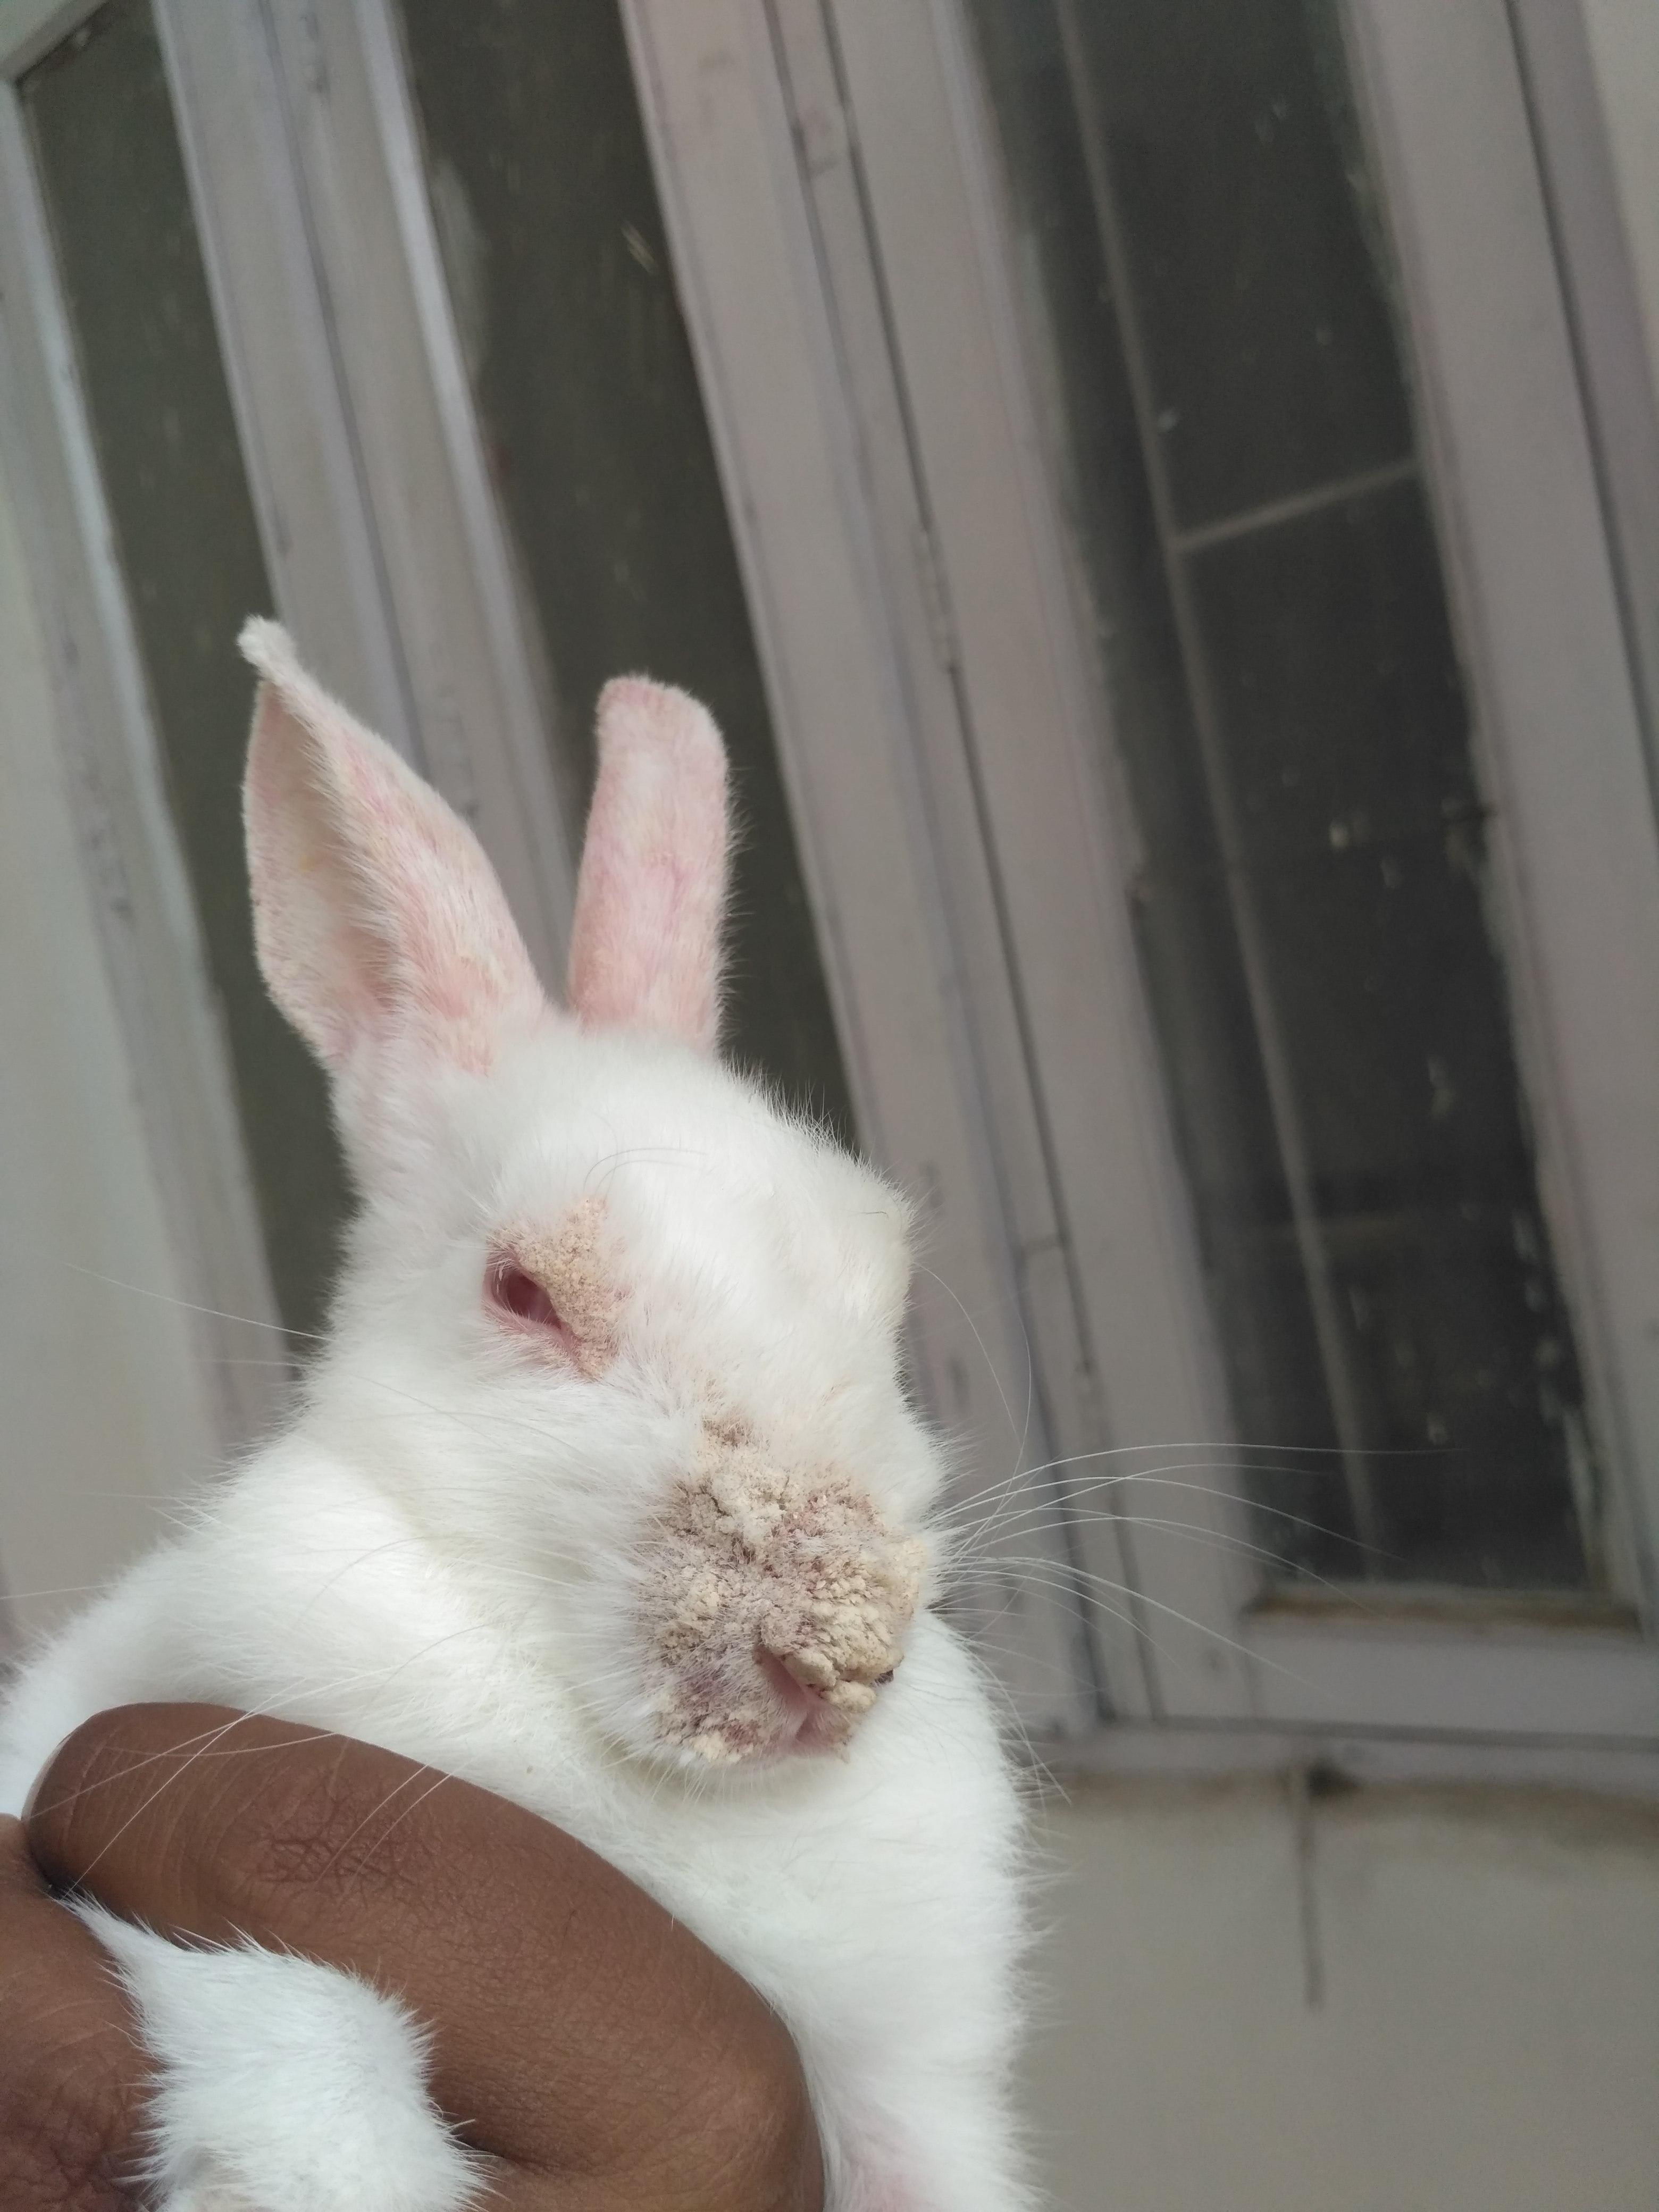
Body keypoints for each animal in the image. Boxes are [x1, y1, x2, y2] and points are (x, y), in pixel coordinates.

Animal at [0, 620, 1035, 2212]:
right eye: (524, 1291)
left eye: (888, 1276)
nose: (832, 1653)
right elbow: (302, 2048)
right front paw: (310, 2172)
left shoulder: (911, 2087)